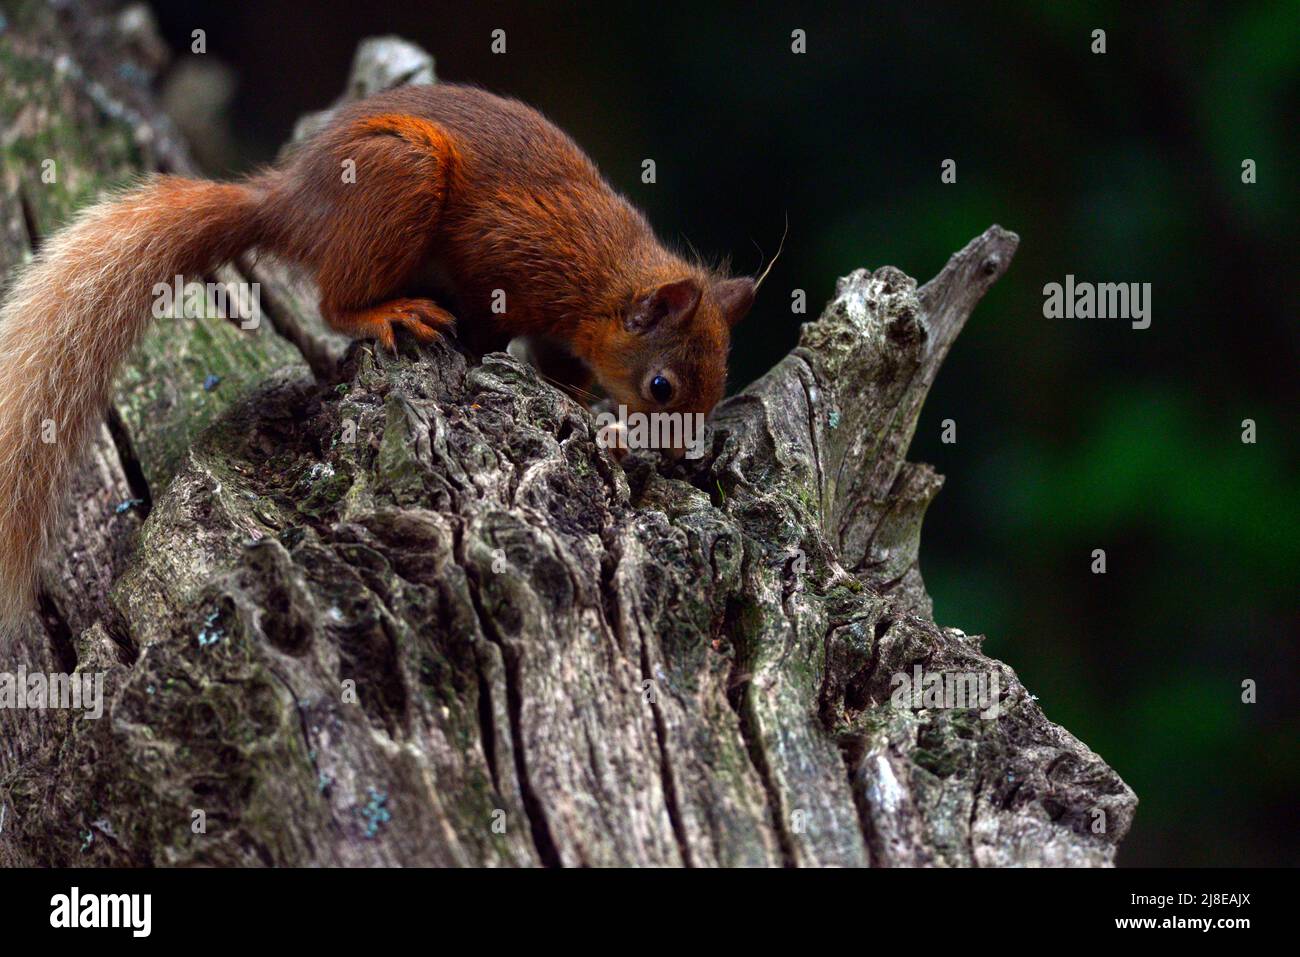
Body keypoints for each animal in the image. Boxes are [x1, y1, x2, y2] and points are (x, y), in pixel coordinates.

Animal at [0, 82, 759, 630]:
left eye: (720, 383)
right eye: (660, 386)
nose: (682, 457)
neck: (607, 275)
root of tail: (287, 205)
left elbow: (558, 364)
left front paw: (588, 403)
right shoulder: (508, 257)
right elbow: (493, 331)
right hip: (399, 177)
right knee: (334, 301)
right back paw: (392, 313)